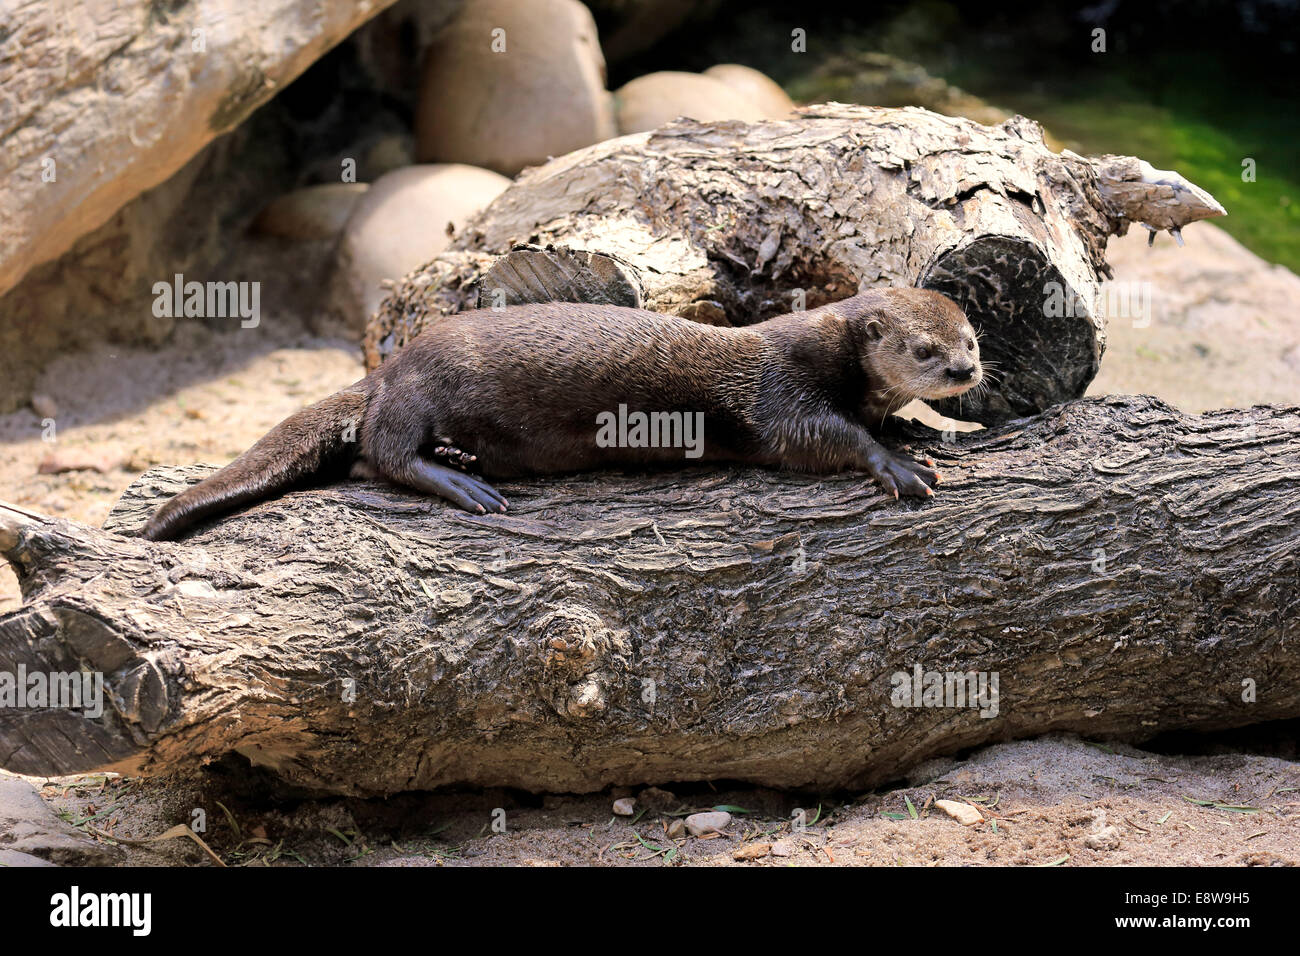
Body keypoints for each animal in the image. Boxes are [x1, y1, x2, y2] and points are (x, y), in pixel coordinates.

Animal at [142, 287, 982, 540]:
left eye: (970, 336)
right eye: (923, 349)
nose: (967, 370)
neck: (828, 352)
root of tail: (390, 366)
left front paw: (908, 429)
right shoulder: (781, 393)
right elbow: (821, 436)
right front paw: (896, 462)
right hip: (424, 386)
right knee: (381, 454)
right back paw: (462, 485)